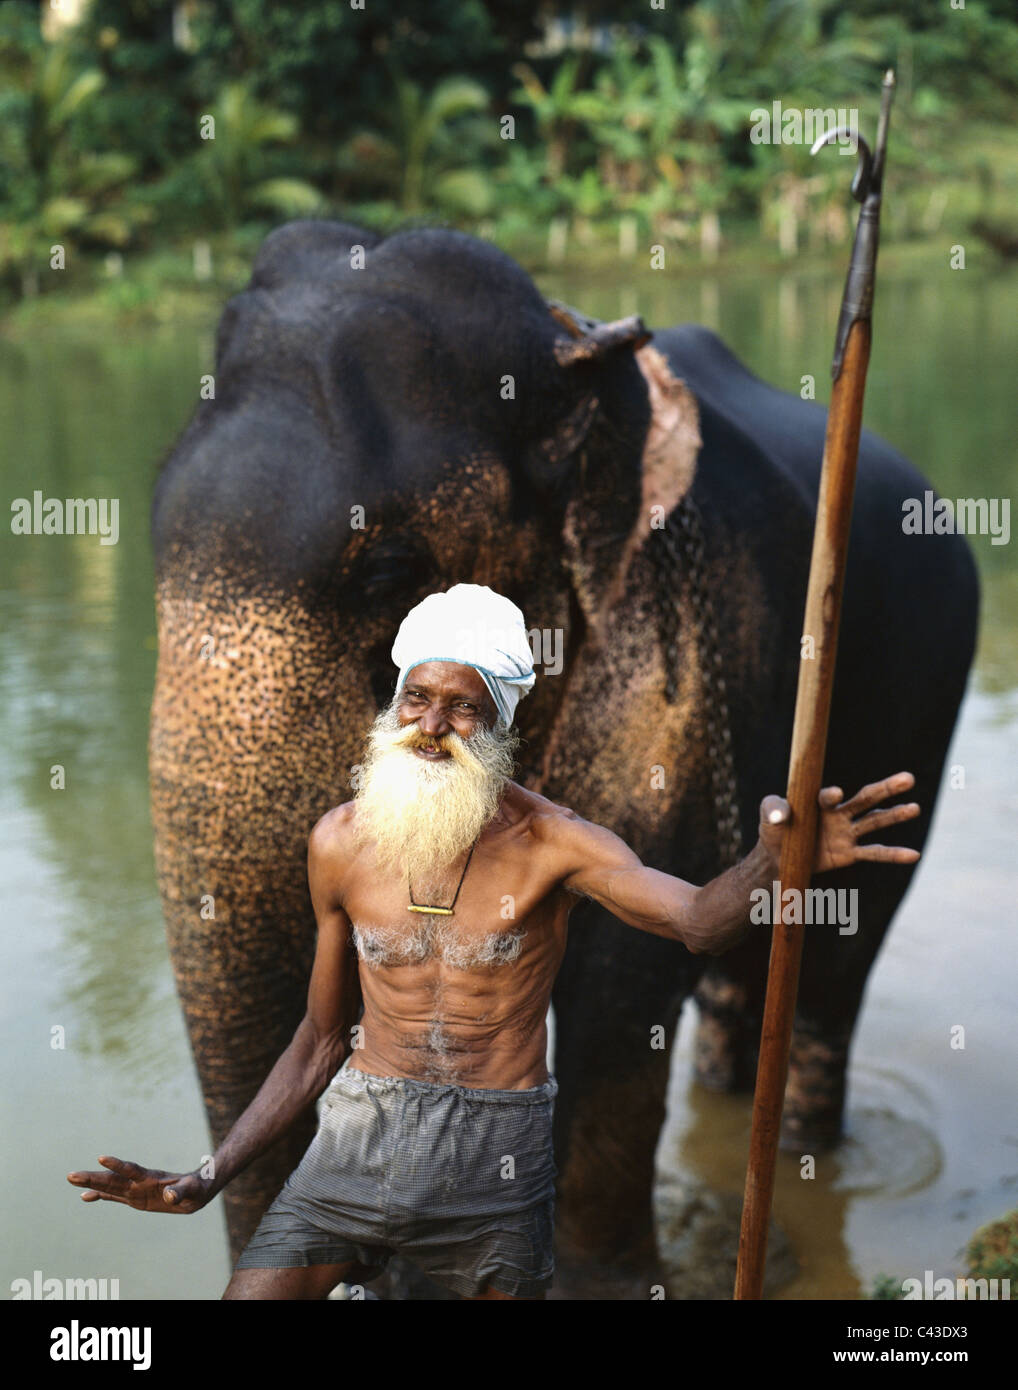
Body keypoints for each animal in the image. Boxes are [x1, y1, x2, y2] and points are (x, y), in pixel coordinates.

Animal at [149, 218, 979, 1298]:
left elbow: (626, 981)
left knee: (837, 962)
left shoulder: (671, 664)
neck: (569, 351)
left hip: (930, 695)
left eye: (388, 571)